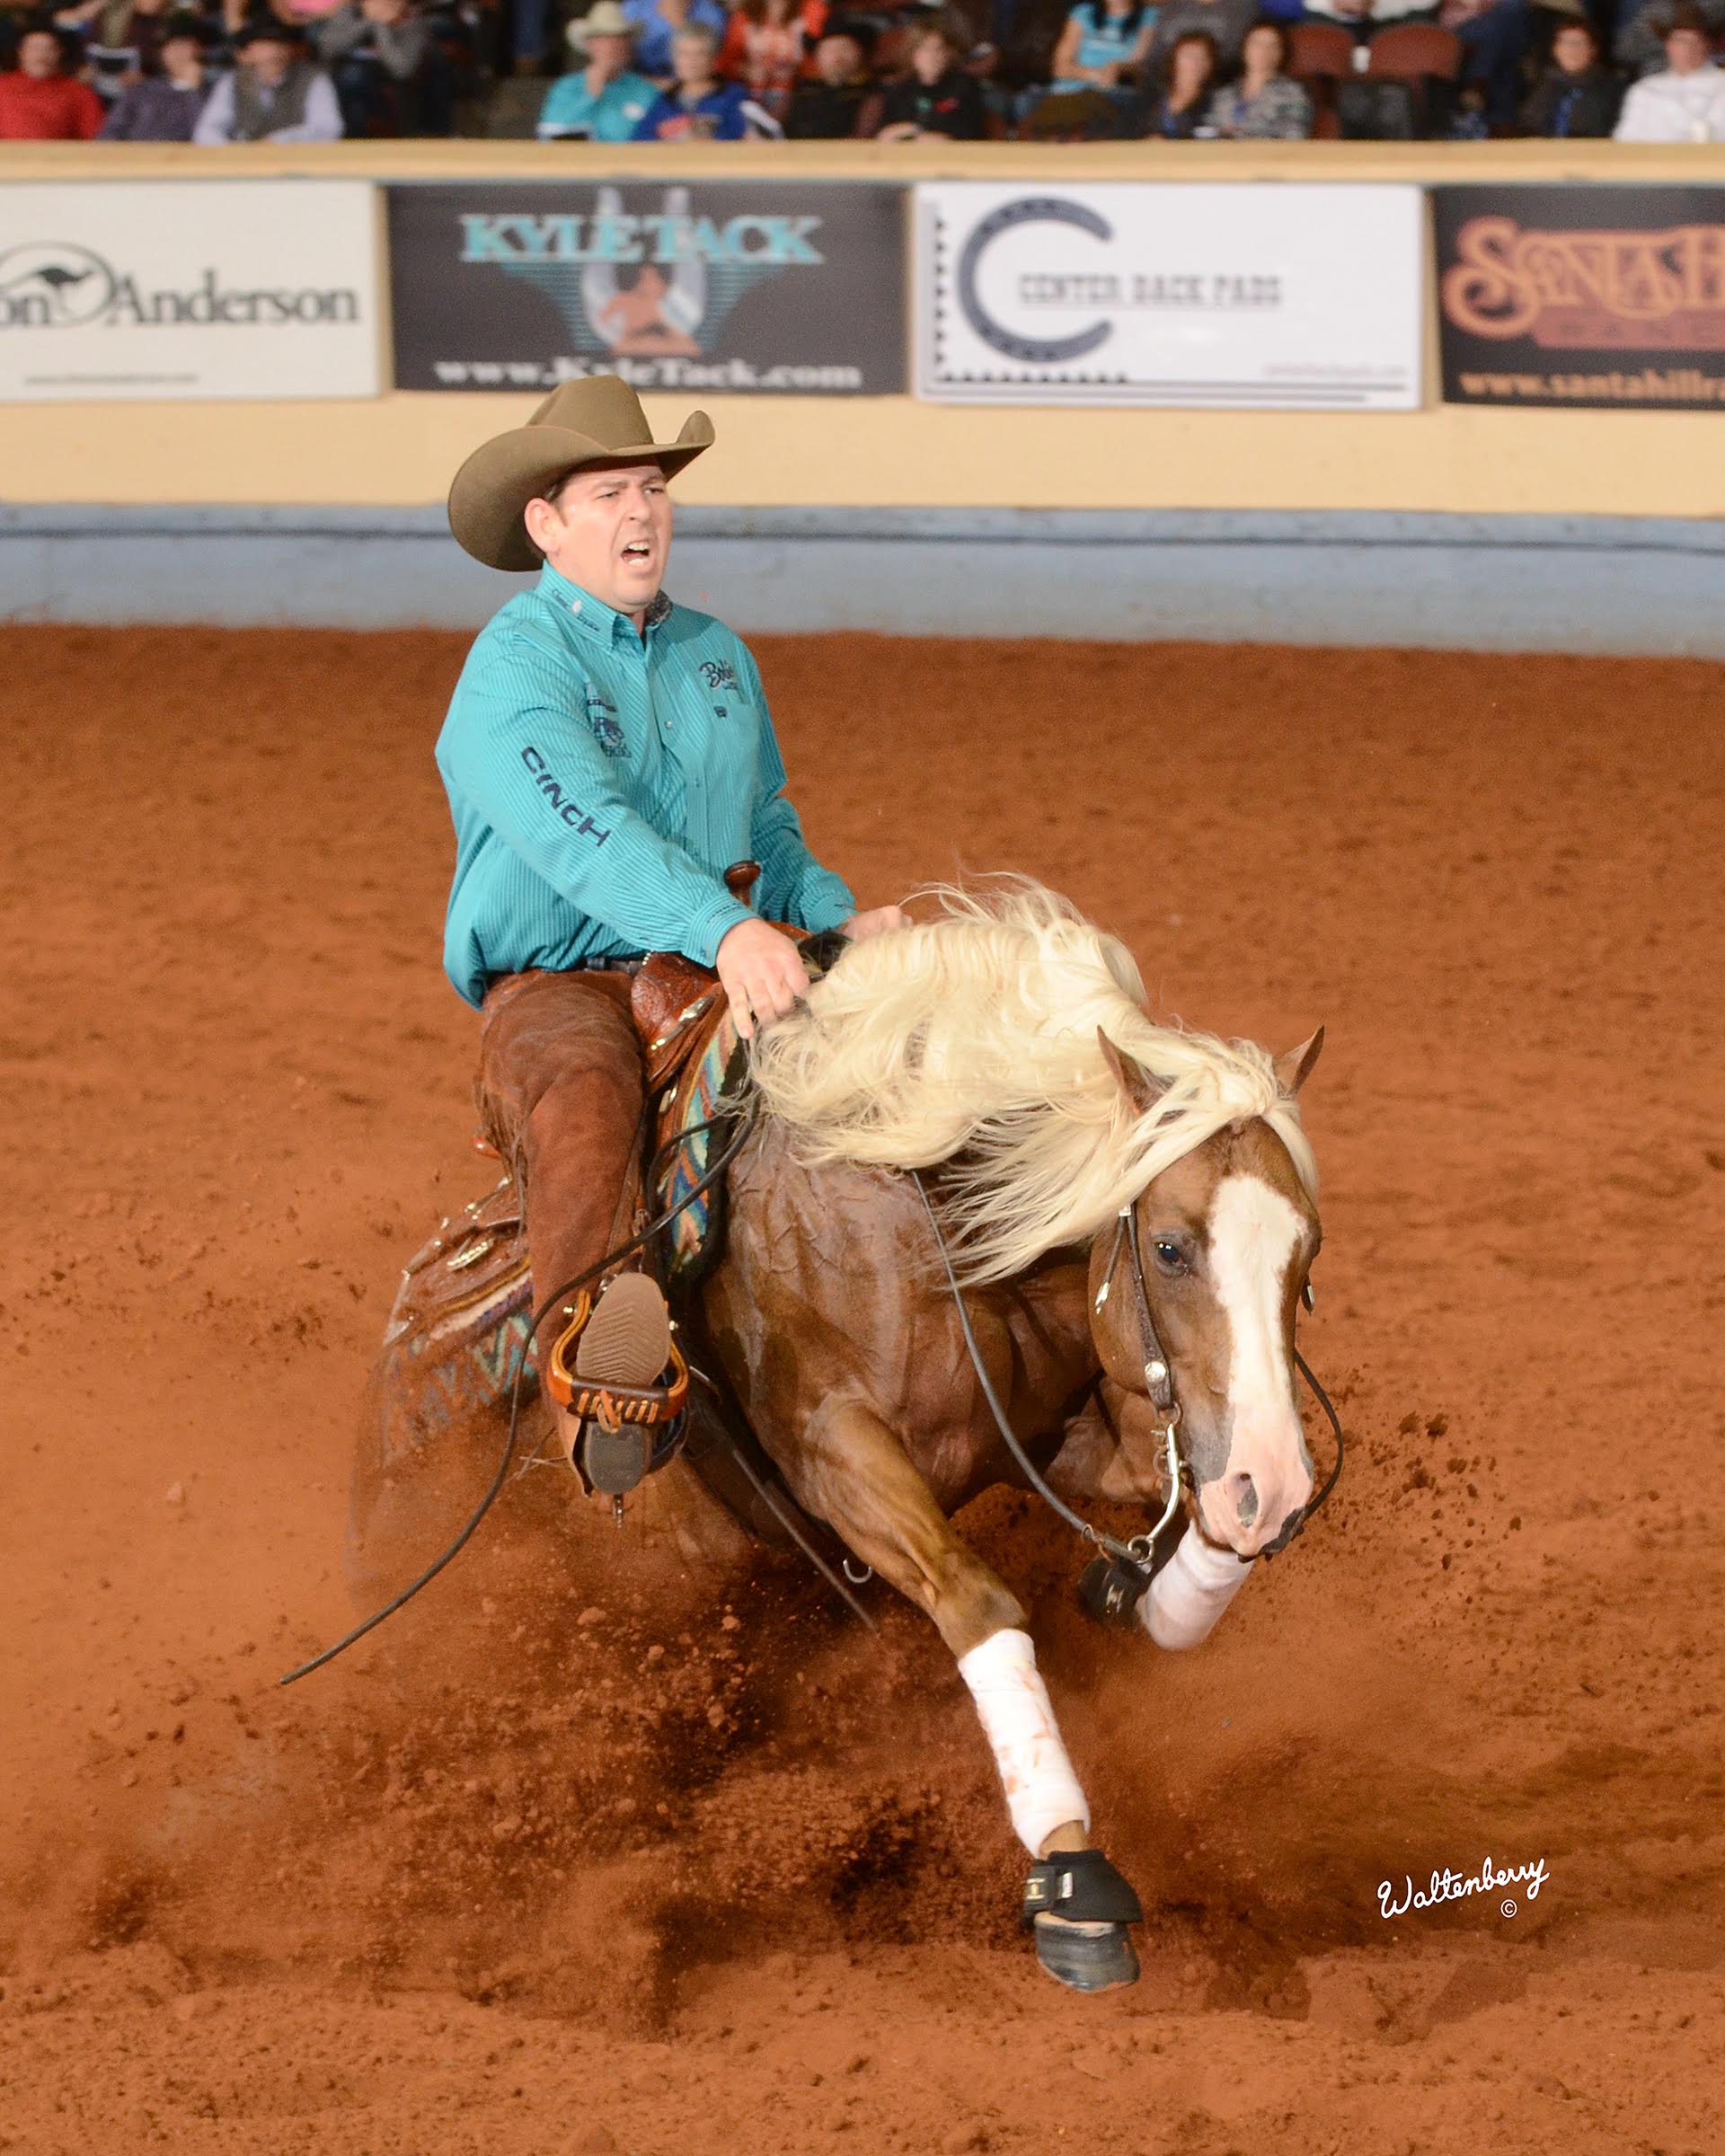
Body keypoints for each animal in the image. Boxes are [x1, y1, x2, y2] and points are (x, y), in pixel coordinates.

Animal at [347, 881, 1328, 1995]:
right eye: (1167, 1247)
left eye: (1307, 1253)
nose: (1279, 1485)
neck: (920, 1202)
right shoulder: (838, 1456)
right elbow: (979, 1604)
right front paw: (1072, 1881)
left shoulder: (1053, 1437)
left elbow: (1187, 1533)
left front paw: (1146, 1596)